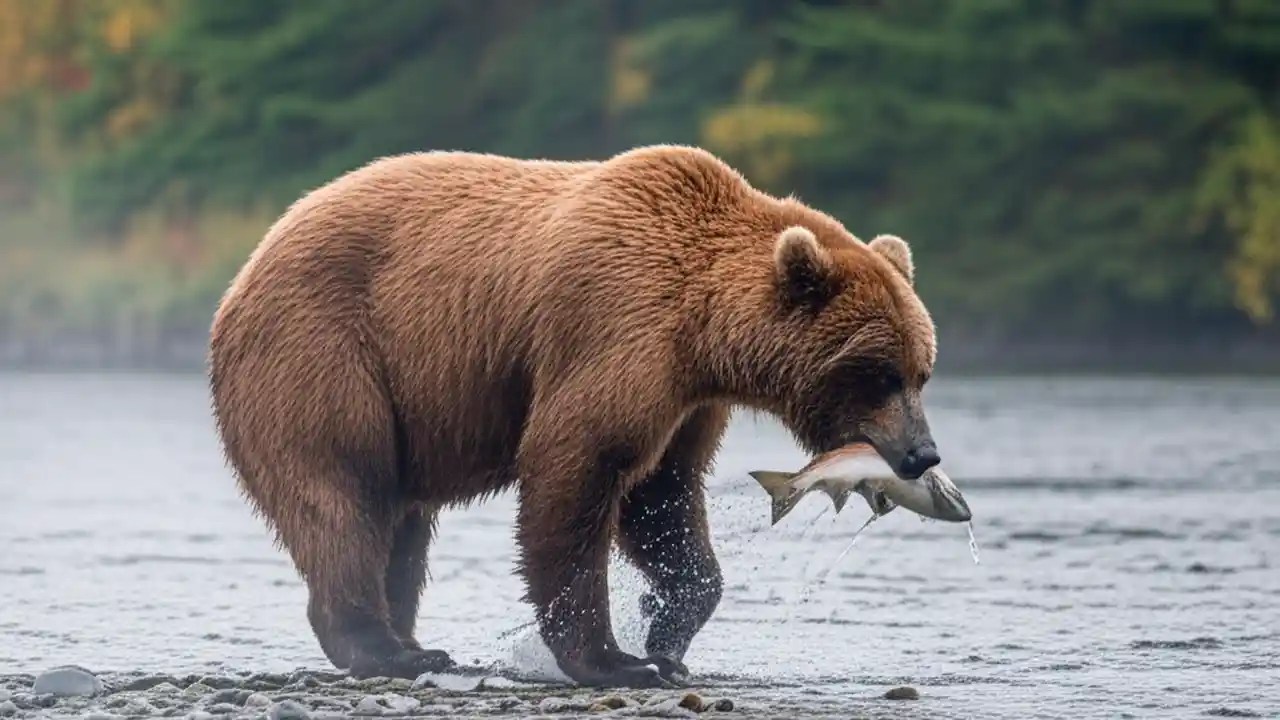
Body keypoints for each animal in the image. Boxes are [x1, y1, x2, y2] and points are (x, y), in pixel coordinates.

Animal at [207, 144, 940, 688]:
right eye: (879, 372)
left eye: (922, 370)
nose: (923, 453)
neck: (703, 330)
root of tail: (245, 269)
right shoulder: (614, 326)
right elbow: (579, 467)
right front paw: (615, 658)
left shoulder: (688, 402)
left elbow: (663, 497)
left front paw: (666, 632)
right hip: (325, 352)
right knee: (342, 494)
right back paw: (384, 646)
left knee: (401, 524)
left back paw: (409, 639)